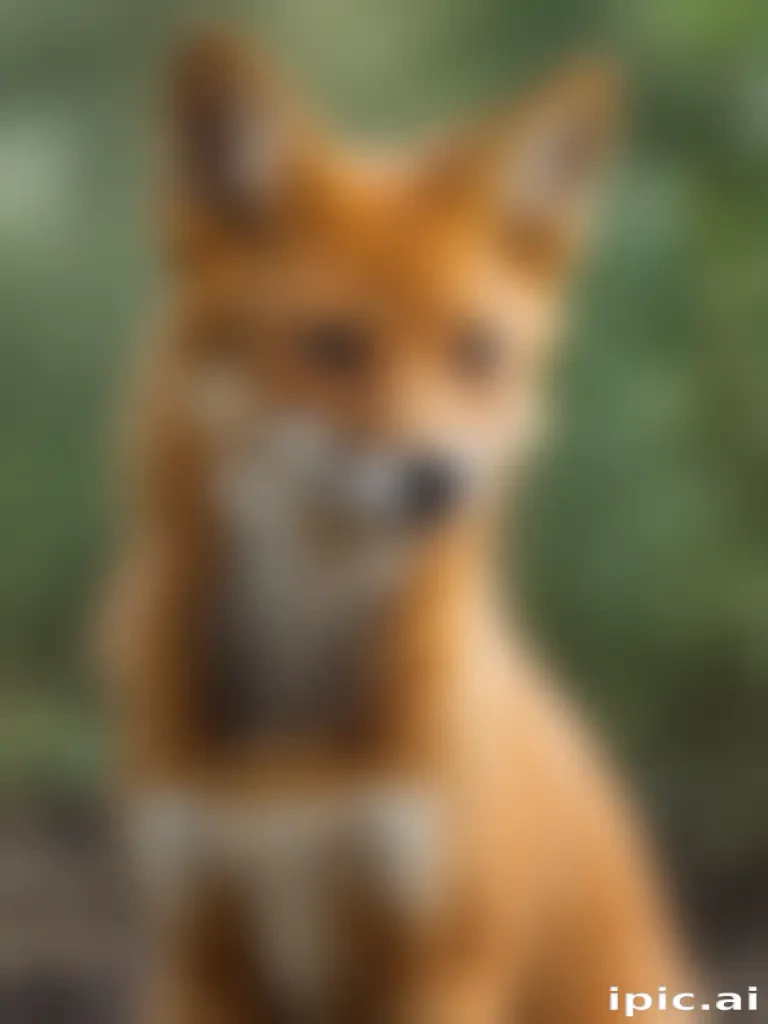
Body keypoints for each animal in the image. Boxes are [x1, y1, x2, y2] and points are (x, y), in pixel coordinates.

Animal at [104, 29, 692, 1024]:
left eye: (478, 351)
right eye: (332, 345)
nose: (438, 480)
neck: (293, 752)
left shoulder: (447, 958)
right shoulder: (199, 950)